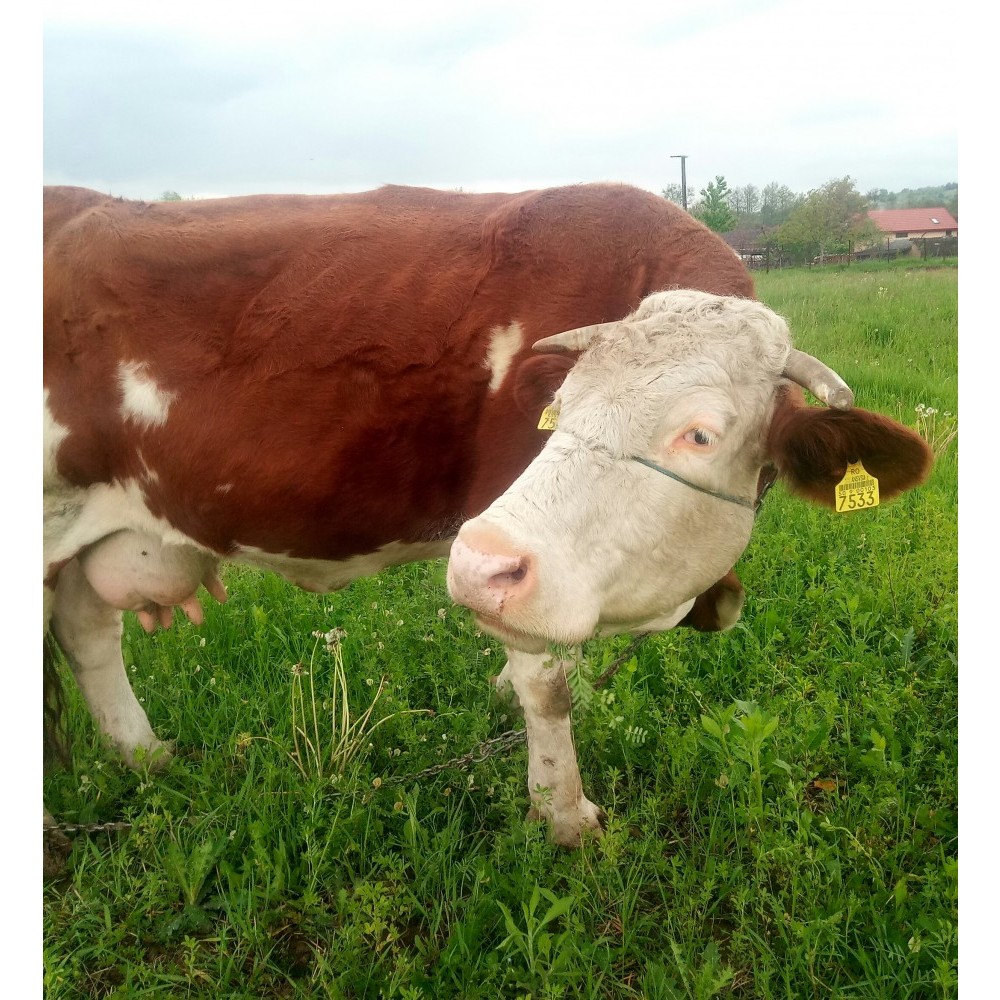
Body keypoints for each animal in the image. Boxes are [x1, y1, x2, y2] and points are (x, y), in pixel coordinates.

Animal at [43, 182, 932, 855]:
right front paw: (564, 815)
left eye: (701, 435)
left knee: (87, 633)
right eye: (558, 407)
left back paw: (143, 757)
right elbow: (550, 684)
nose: (470, 566)